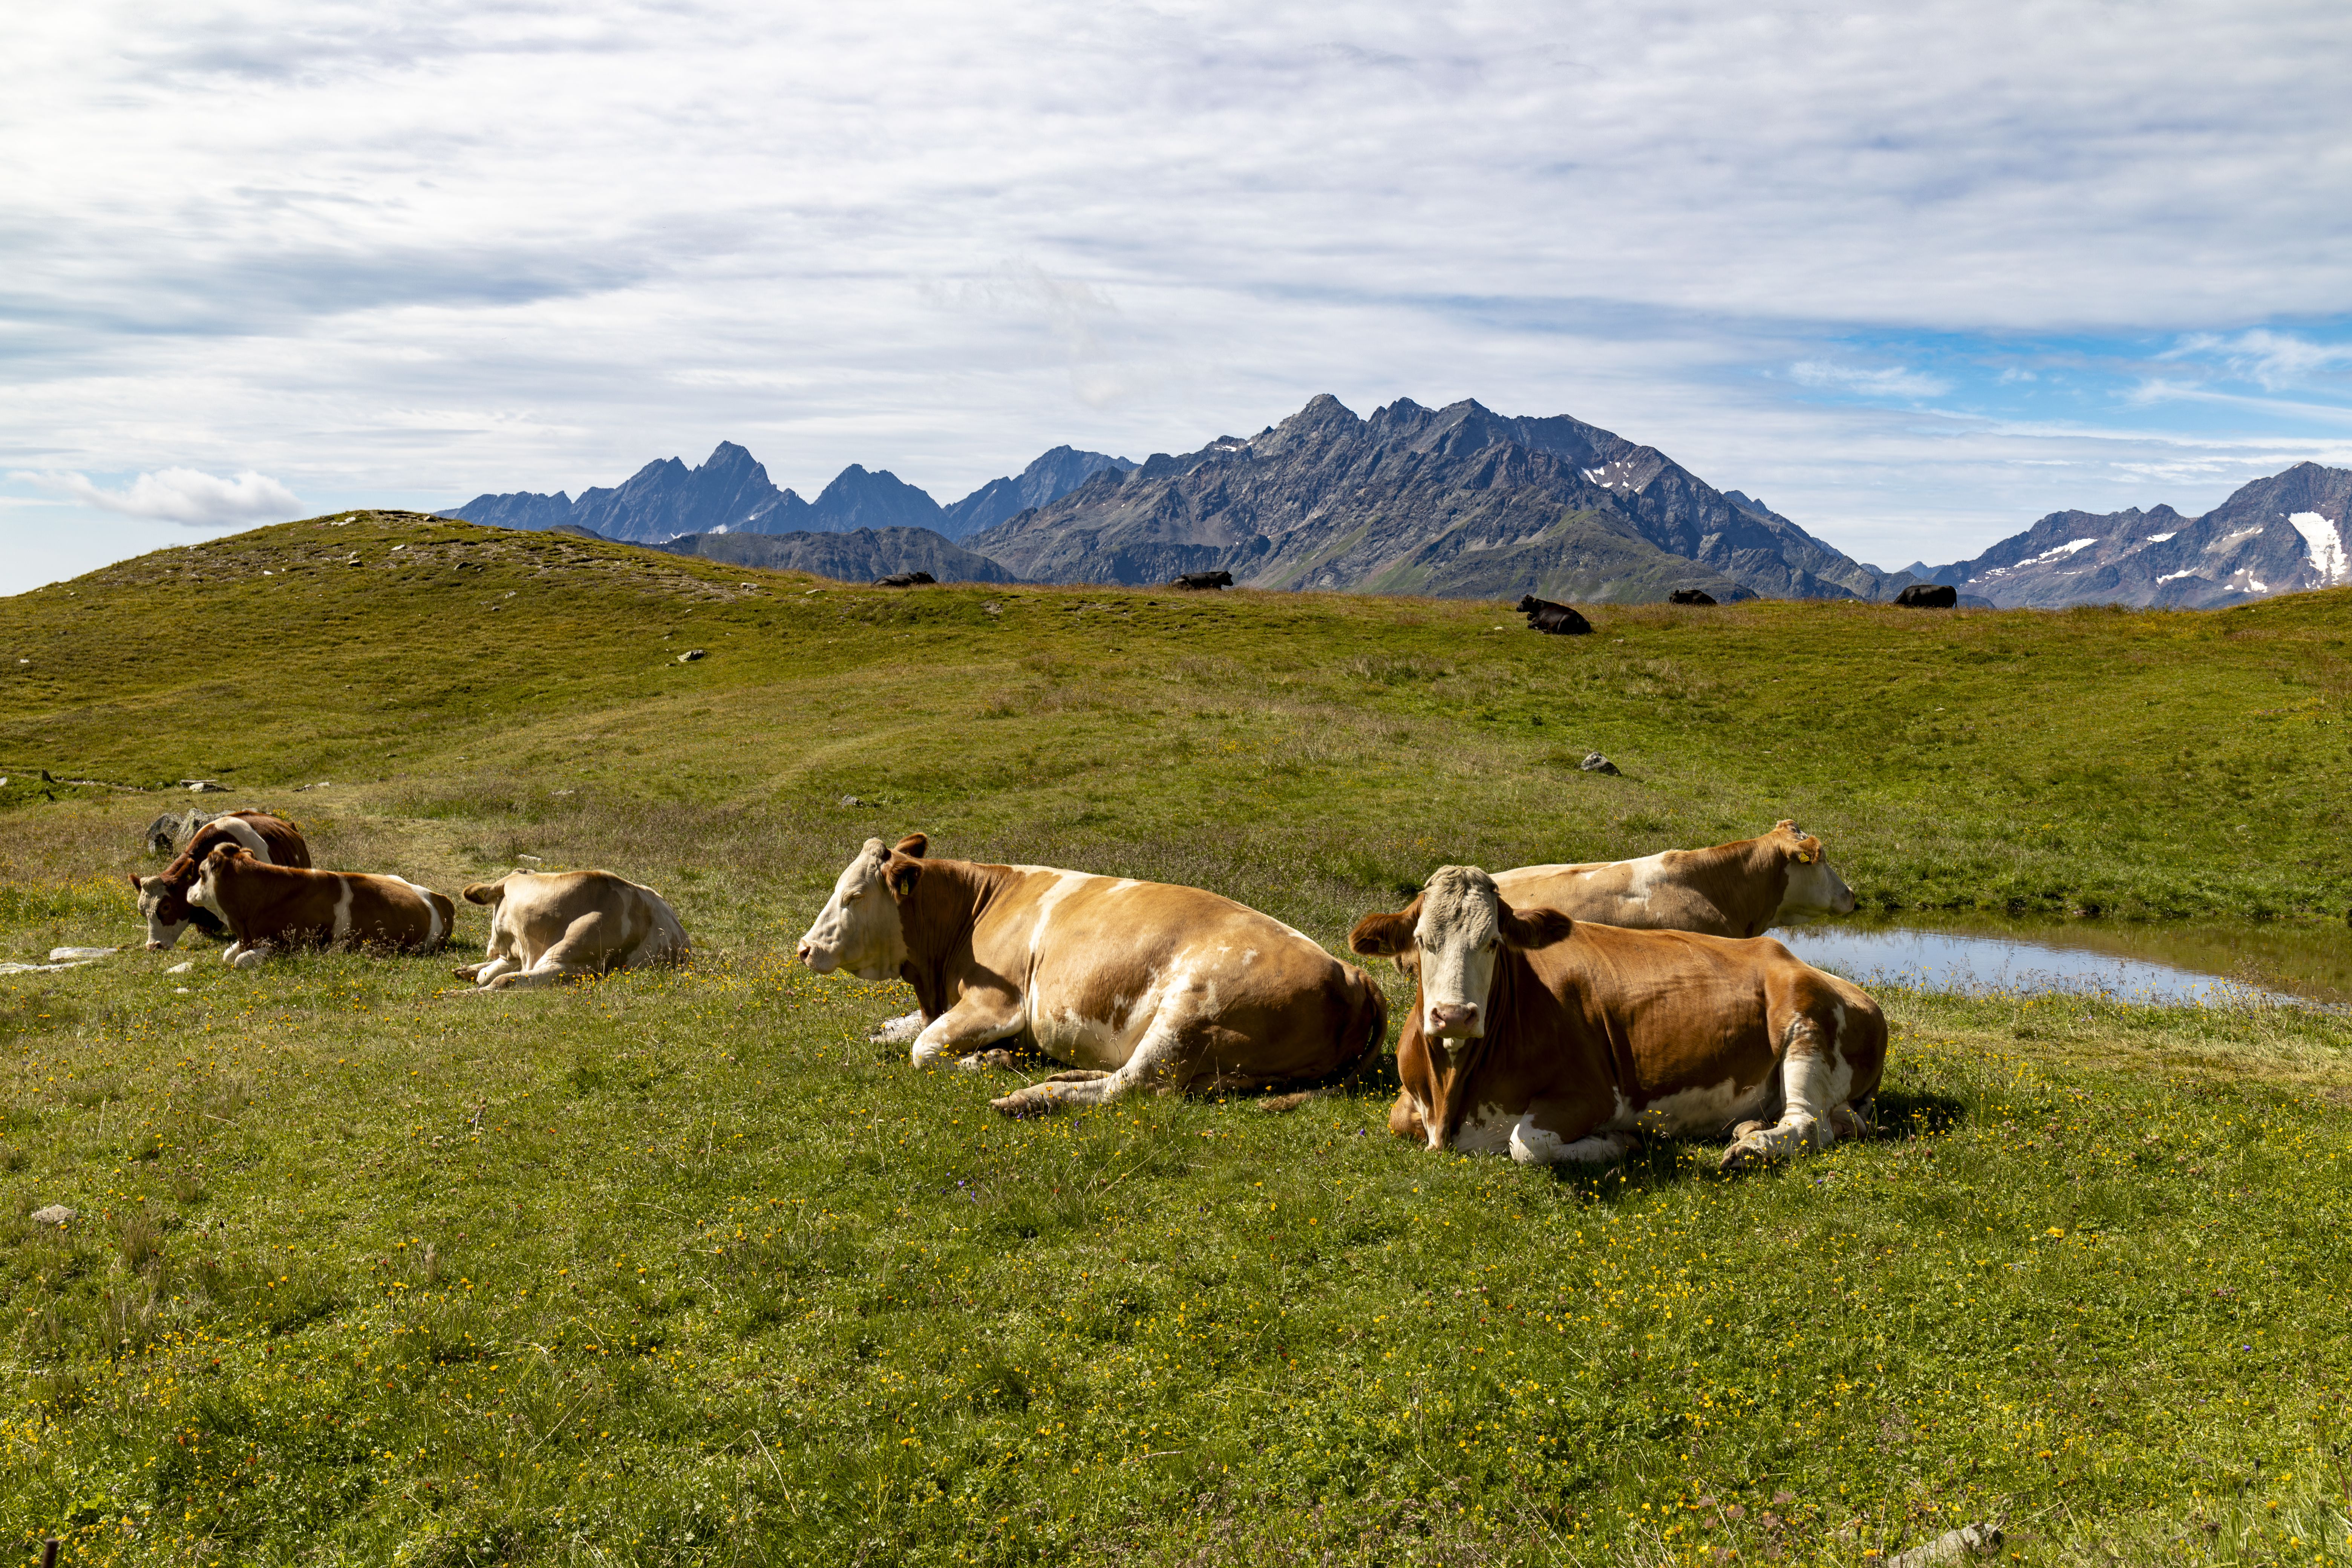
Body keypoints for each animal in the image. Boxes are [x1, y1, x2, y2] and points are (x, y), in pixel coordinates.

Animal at [185, 845, 455, 968]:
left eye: (201, 873)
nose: (188, 892)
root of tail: (441, 898)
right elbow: (228, 954)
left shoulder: (289, 946)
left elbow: (240, 960)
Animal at [796, 834, 1387, 1116]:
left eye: (853, 895)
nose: (804, 948)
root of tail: (1351, 971)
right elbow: (901, 1032)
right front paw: (891, 1029)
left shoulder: (998, 1003)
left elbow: (923, 1050)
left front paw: (986, 1060)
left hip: (1189, 1018)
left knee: (1131, 1087)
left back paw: (1032, 1097)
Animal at [1348, 866, 1885, 1169]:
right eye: (1422, 940)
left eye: (1493, 942)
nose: (1454, 1015)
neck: (1451, 1094)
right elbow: (1398, 1120)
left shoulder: (1592, 1094)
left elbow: (1527, 1143)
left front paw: (1618, 1142)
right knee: (1838, 1121)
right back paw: (1749, 1129)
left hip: (1806, 1024)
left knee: (1808, 1124)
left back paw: (1750, 1149)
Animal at [1515, 595, 1592, 635]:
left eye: (1523, 602)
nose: (1517, 608)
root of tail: (1583, 621)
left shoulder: (1537, 621)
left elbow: (1529, 626)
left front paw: (1537, 628)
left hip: (1563, 621)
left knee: (1557, 632)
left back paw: (1544, 631)